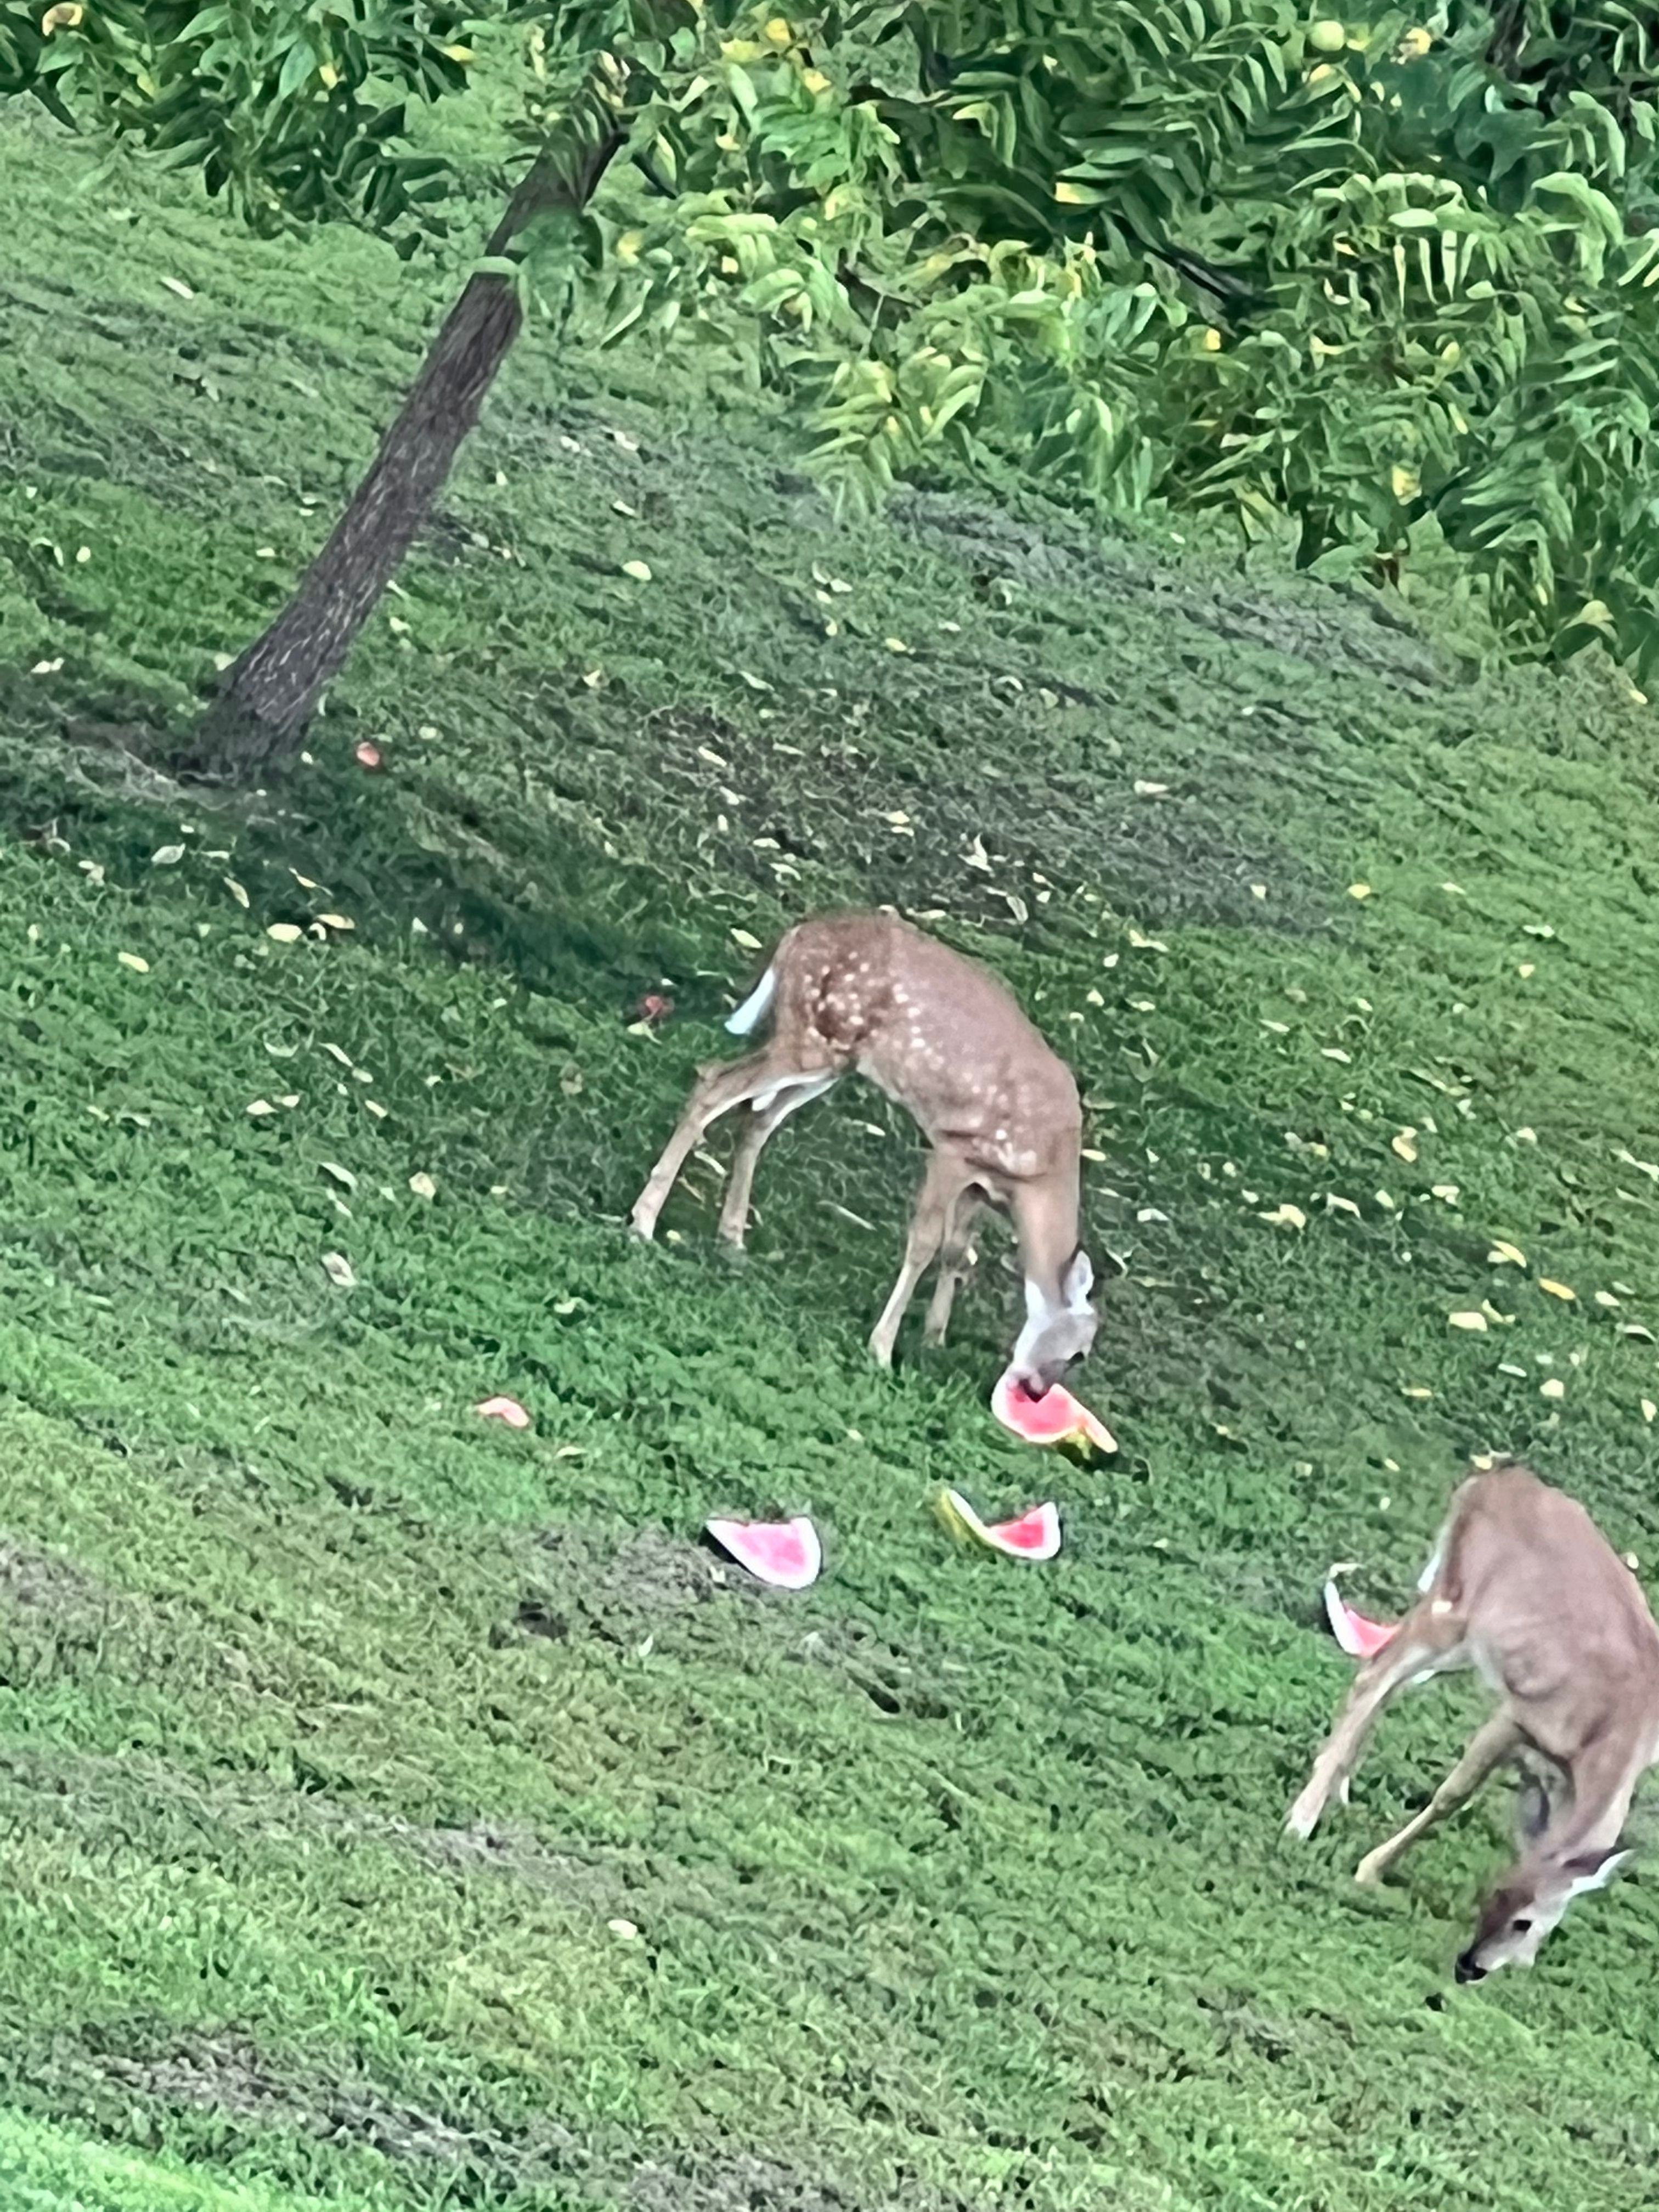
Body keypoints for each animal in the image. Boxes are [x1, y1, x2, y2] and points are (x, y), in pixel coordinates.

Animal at [628, 910, 1098, 1395]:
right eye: (1078, 1353)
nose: (1037, 1390)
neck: (1038, 1174)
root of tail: (797, 934)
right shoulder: (952, 1146)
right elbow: (925, 1243)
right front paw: (882, 1349)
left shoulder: (981, 1184)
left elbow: (957, 1252)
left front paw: (934, 1339)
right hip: (813, 1039)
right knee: (714, 1082)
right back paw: (643, 1224)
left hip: (831, 1061)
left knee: (756, 1118)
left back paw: (732, 1240)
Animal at [1286, 1459, 1659, 1980]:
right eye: (1493, 1894)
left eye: (1524, 1920)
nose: (1470, 1967)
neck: (1613, 1737)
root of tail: (1488, 1479)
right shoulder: (1519, 1715)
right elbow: (1452, 1795)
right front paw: (1370, 1869)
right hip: (1452, 1607)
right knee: (1376, 1675)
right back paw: (1301, 1821)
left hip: (1463, 1641)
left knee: (1390, 1679)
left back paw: (1338, 1792)